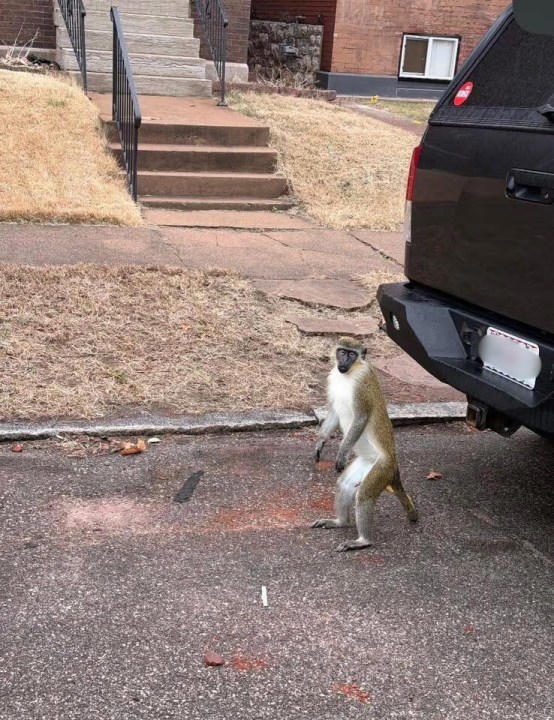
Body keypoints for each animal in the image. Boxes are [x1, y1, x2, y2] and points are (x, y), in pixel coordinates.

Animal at [312, 336, 418, 551]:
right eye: (342, 351)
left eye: (352, 354)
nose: (344, 361)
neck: (348, 375)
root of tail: (394, 464)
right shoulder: (332, 378)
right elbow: (334, 412)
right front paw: (320, 441)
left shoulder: (362, 384)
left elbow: (360, 418)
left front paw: (342, 451)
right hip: (367, 464)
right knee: (344, 484)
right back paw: (340, 522)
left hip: (382, 468)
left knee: (364, 496)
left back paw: (363, 541)